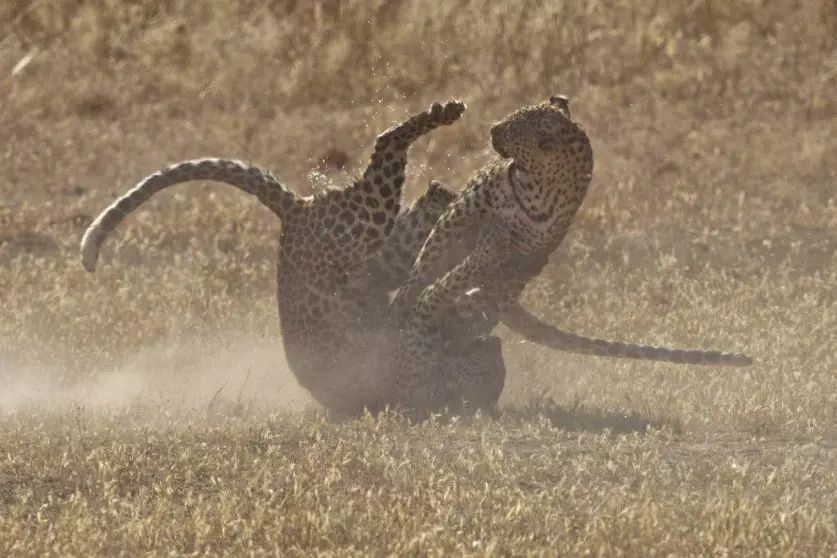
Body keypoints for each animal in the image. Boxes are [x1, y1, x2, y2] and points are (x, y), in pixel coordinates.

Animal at [386, 96, 752, 418]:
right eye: (513, 116)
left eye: (514, 131)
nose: (492, 129)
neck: (532, 185)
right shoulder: (459, 215)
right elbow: (428, 264)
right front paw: (404, 302)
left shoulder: (518, 255)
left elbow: (465, 274)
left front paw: (427, 302)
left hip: (512, 281)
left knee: (481, 310)